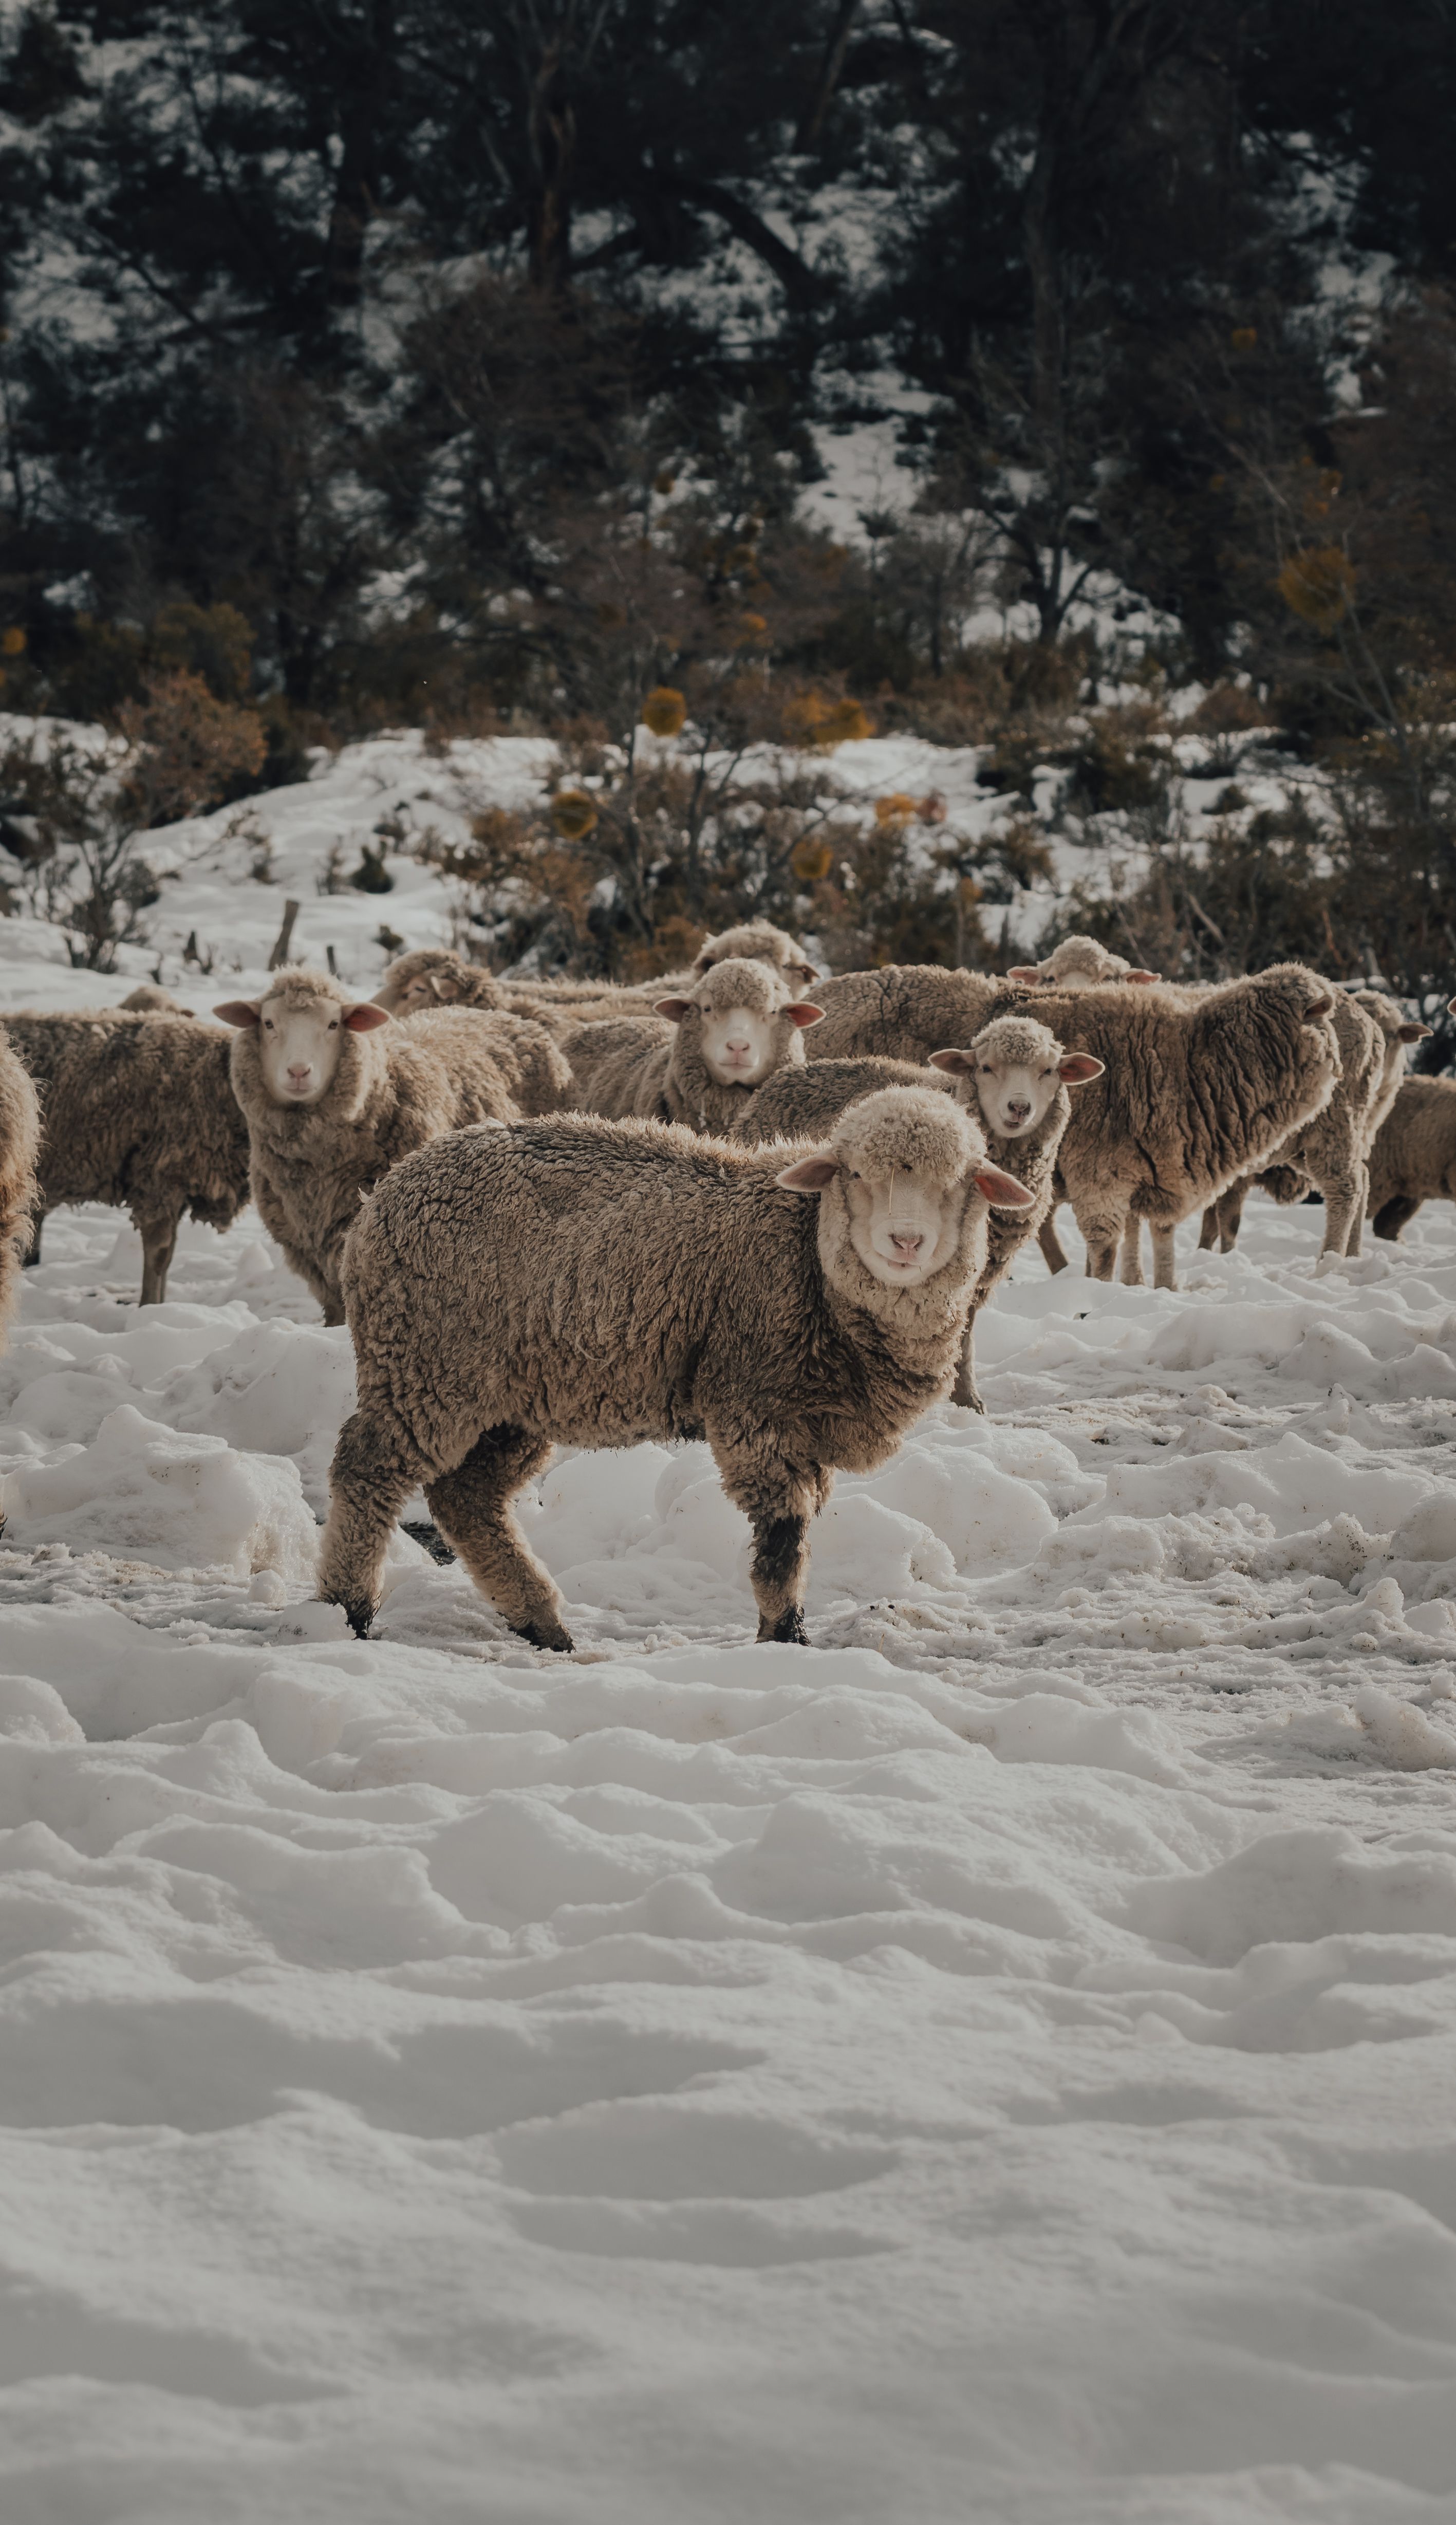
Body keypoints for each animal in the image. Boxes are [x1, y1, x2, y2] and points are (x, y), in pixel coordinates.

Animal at [317, 1087, 1034, 1648]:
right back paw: (347, 1609)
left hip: (509, 1395)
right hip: (426, 1366)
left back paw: (541, 1622)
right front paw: (784, 1637)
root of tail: (384, 1193)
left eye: (960, 1180)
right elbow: (783, 1540)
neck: (812, 1261)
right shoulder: (751, 1407)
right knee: (366, 1472)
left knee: (466, 1497)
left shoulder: (805, 1427)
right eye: (853, 1174)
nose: (904, 1242)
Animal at [732, 1017, 1103, 1407]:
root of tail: (792, 1071)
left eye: (1049, 1071)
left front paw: (967, 1397)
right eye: (986, 1068)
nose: (1018, 1107)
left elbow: (965, 1334)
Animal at [971, 966, 1341, 1288]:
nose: (1341, 1068)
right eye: (1323, 1017)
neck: (1192, 1064)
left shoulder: (1162, 1169)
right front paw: (1100, 1293)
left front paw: (1162, 1287)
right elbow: (1106, 1247)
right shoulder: (1098, 1174)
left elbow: (1161, 1234)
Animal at [1200, 987, 1431, 1259]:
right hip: (1307, 1144)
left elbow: (1227, 1222)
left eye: (1397, 1035)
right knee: (1362, 1178)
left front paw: (1224, 1257)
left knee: (1346, 1187)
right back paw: (1351, 1254)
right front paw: (1204, 1254)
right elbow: (1213, 1222)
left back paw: (1331, 1259)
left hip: (1332, 1127)